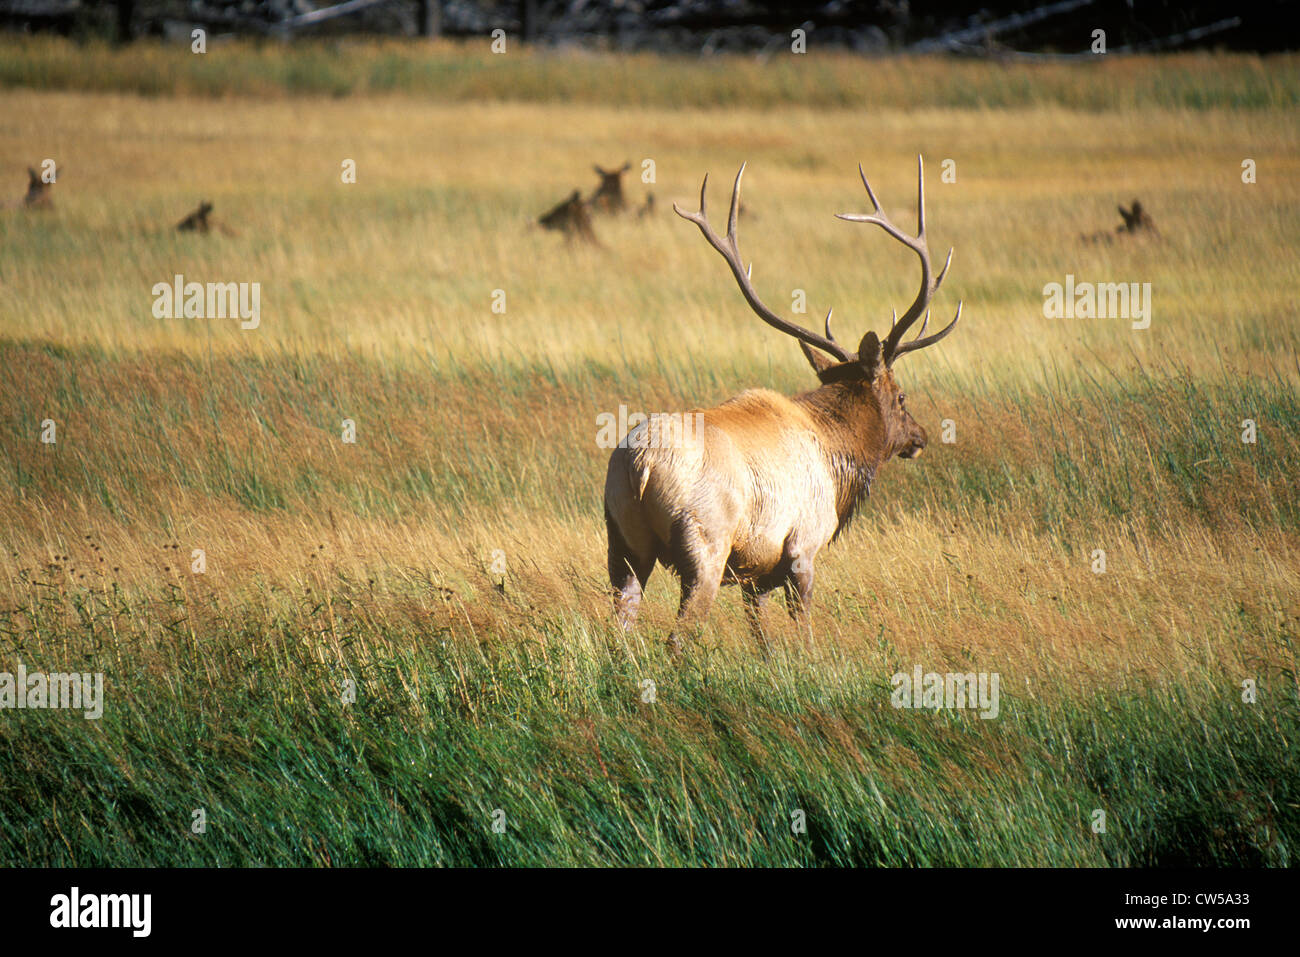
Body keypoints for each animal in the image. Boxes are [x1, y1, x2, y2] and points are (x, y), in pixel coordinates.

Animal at [604, 157, 961, 655]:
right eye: (901, 395)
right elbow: (803, 626)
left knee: (619, 625)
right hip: (704, 544)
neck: (838, 454)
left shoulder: (756, 573)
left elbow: (764, 638)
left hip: (621, 542)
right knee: (680, 636)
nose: (920, 436)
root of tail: (641, 465)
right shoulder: (802, 546)